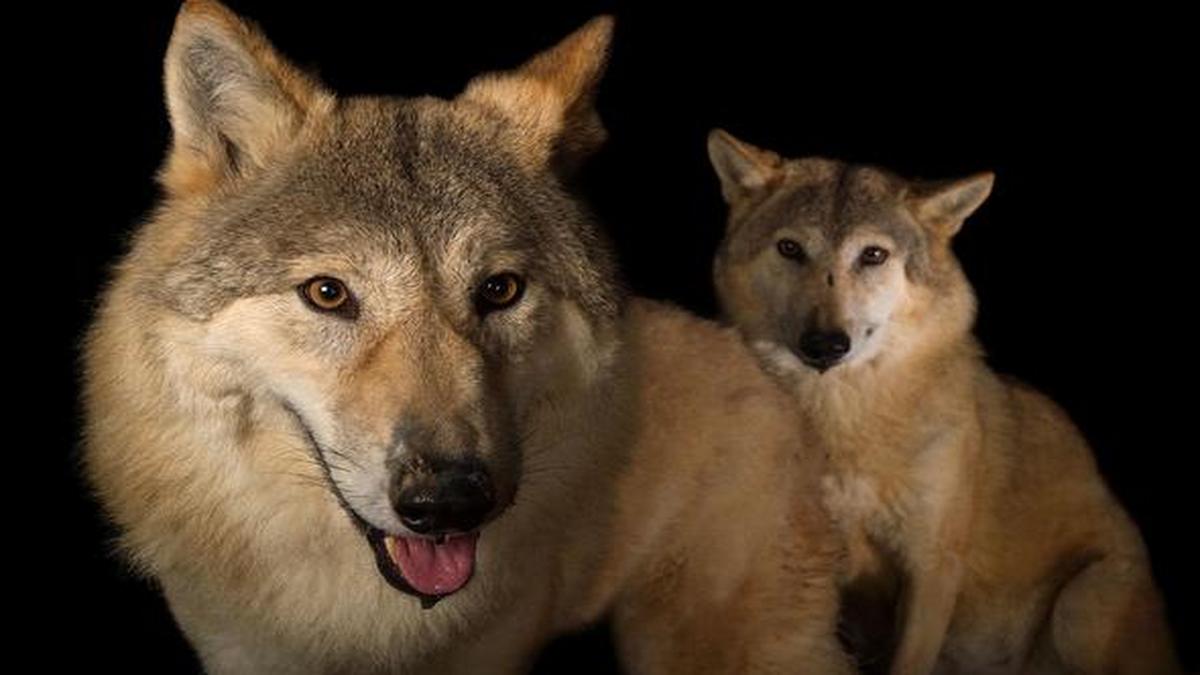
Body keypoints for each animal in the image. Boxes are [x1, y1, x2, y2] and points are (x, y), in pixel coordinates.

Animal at [707, 129, 1180, 674]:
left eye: (873, 255)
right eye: (790, 248)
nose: (826, 344)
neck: (848, 420)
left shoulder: (932, 567)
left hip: (1082, 610)